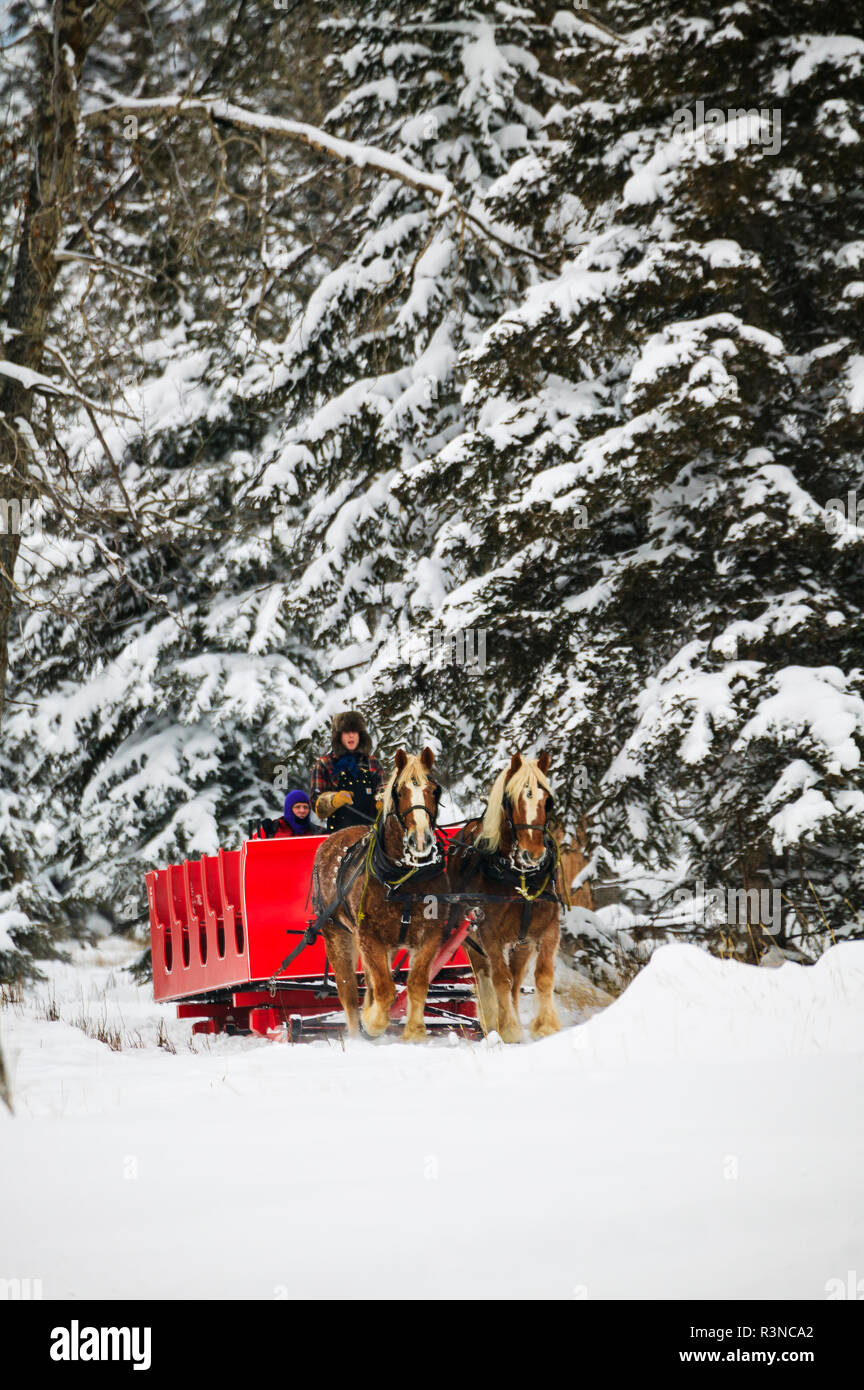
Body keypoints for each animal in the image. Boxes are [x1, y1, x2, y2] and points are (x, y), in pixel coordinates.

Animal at [311, 746, 448, 1041]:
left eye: (435, 790)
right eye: (399, 792)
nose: (421, 841)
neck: (404, 876)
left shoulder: (430, 935)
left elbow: (417, 983)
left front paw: (415, 1032)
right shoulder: (369, 936)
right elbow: (384, 990)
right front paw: (373, 1022)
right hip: (336, 934)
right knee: (348, 990)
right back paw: (356, 1031)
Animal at [448, 751, 562, 1043]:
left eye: (548, 801)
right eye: (511, 801)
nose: (533, 854)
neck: (520, 878)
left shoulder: (548, 930)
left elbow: (543, 977)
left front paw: (545, 1026)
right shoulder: (489, 934)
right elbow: (500, 979)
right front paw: (508, 1029)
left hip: (520, 944)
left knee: (516, 979)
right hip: (469, 937)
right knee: (485, 976)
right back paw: (492, 1022)